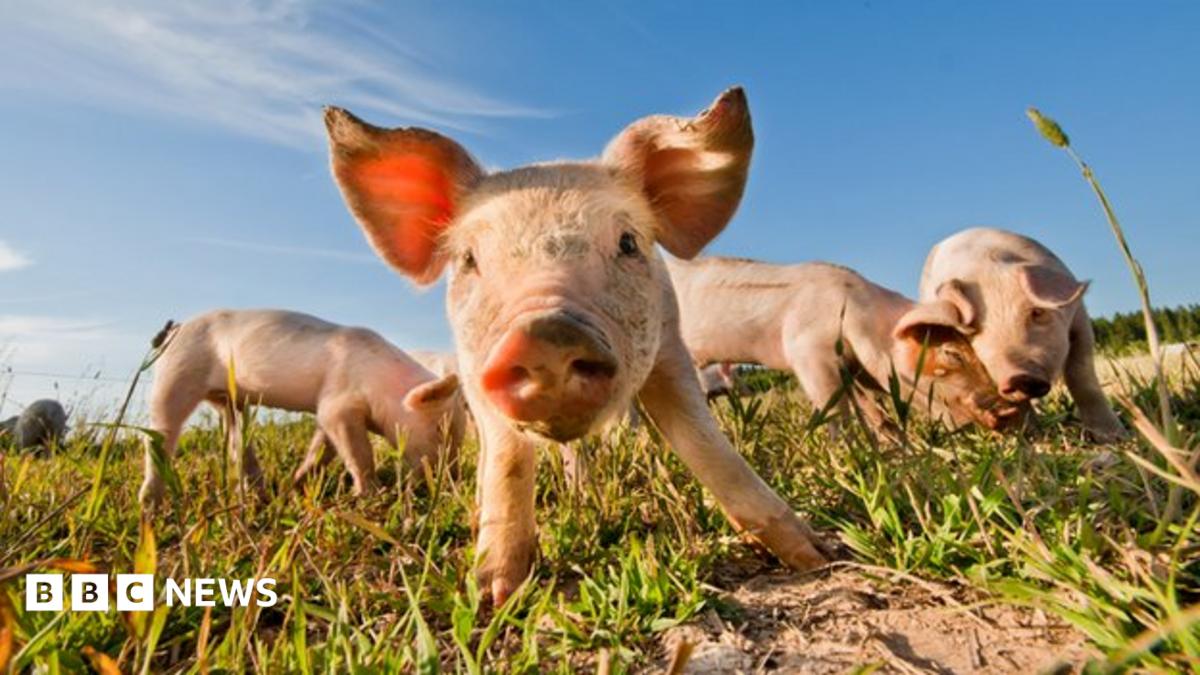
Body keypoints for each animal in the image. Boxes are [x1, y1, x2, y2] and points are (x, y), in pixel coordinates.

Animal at [138, 310, 462, 504]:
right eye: (439, 430)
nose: (453, 480)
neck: (382, 384)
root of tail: (176, 329)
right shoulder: (338, 402)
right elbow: (357, 451)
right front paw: (370, 495)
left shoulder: (329, 409)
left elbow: (322, 447)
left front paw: (296, 484)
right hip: (177, 371)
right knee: (161, 431)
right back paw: (149, 504)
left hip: (228, 399)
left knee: (236, 436)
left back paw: (258, 491)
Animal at [324, 86, 829, 604]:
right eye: (468, 259)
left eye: (628, 242)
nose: (545, 333)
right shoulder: (474, 371)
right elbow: (507, 459)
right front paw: (494, 595)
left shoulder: (670, 346)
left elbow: (704, 441)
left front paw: (815, 556)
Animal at [668, 257, 1023, 431]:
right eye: (951, 354)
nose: (1010, 411)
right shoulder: (808, 353)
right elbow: (836, 412)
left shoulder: (852, 369)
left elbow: (877, 414)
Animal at [919, 228, 1127, 441]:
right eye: (973, 333)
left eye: (1037, 312)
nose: (1018, 376)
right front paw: (1031, 436)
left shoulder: (1080, 319)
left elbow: (1082, 376)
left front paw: (1114, 438)